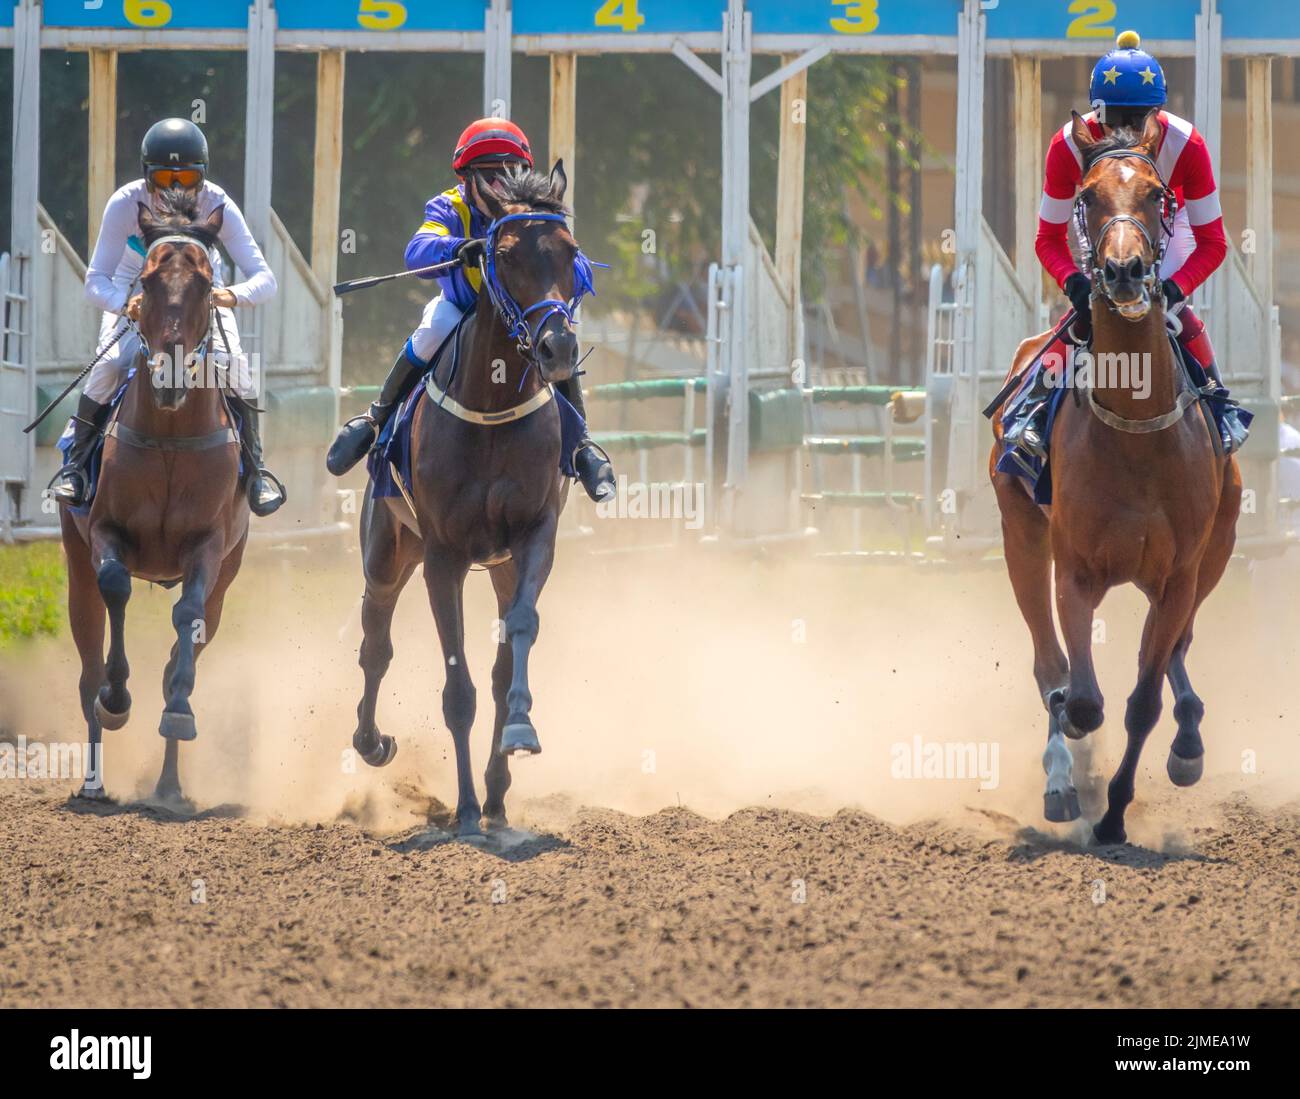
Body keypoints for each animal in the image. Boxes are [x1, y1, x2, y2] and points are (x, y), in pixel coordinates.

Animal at [60, 190, 251, 806]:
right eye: (146, 278)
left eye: (208, 280)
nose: (170, 373)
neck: (169, 434)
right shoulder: (104, 533)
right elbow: (116, 586)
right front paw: (118, 699)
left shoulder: (210, 547)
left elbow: (185, 621)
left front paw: (179, 712)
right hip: (74, 571)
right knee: (86, 669)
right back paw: (94, 780)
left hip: (228, 582)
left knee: (184, 647)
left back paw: (168, 784)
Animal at [349, 163, 585, 839]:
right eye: (502, 256)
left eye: (571, 253)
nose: (559, 349)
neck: (493, 408)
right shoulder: (443, 556)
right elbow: (458, 690)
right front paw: (465, 810)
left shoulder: (533, 539)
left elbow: (517, 643)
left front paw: (517, 738)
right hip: (387, 550)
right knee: (375, 645)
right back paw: (372, 742)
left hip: (498, 566)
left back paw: (499, 789)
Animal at [990, 110, 1242, 845]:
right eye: (1086, 196)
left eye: (1158, 194)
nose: (1125, 270)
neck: (1134, 430)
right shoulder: (1074, 569)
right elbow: (1081, 696)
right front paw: (1078, 770)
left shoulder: (1180, 573)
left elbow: (1142, 700)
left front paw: (1116, 814)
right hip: (1021, 535)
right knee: (1048, 663)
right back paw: (1060, 779)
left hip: (1217, 548)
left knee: (1178, 645)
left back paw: (1186, 741)